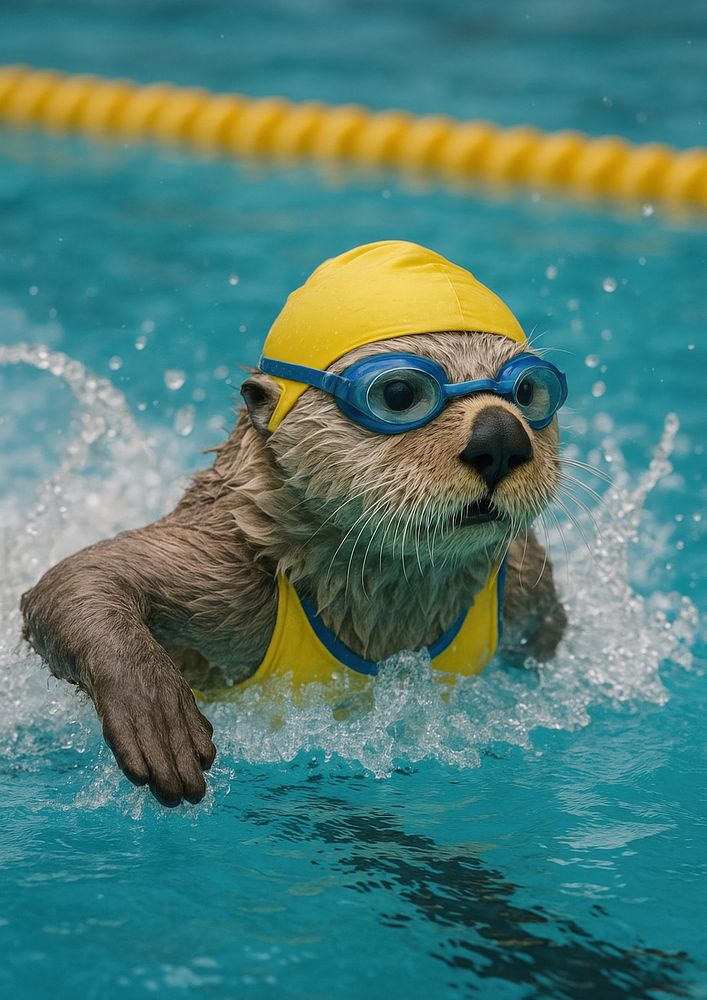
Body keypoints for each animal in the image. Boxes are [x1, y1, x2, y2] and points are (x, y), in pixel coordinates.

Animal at [20, 242, 567, 806]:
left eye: (530, 391)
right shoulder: (229, 572)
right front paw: (156, 712)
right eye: (398, 394)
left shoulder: (521, 575)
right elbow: (81, 575)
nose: (501, 437)